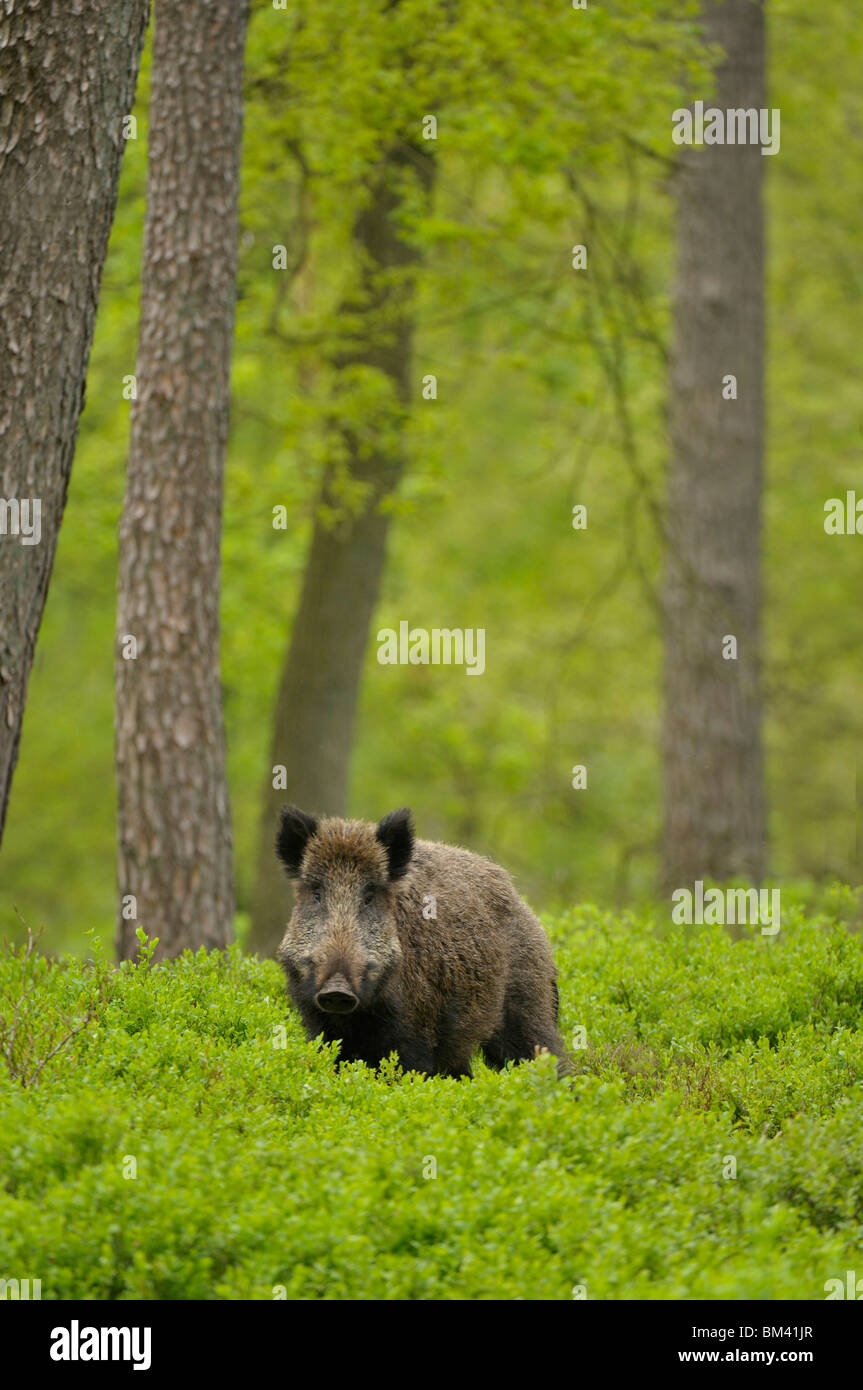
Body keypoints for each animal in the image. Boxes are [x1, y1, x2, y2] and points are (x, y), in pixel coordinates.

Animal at [275, 805, 568, 1079]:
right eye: (316, 893)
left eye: (370, 896)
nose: (337, 989)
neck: (358, 1016)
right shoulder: (317, 1023)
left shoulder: (414, 1029)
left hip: (528, 1003)